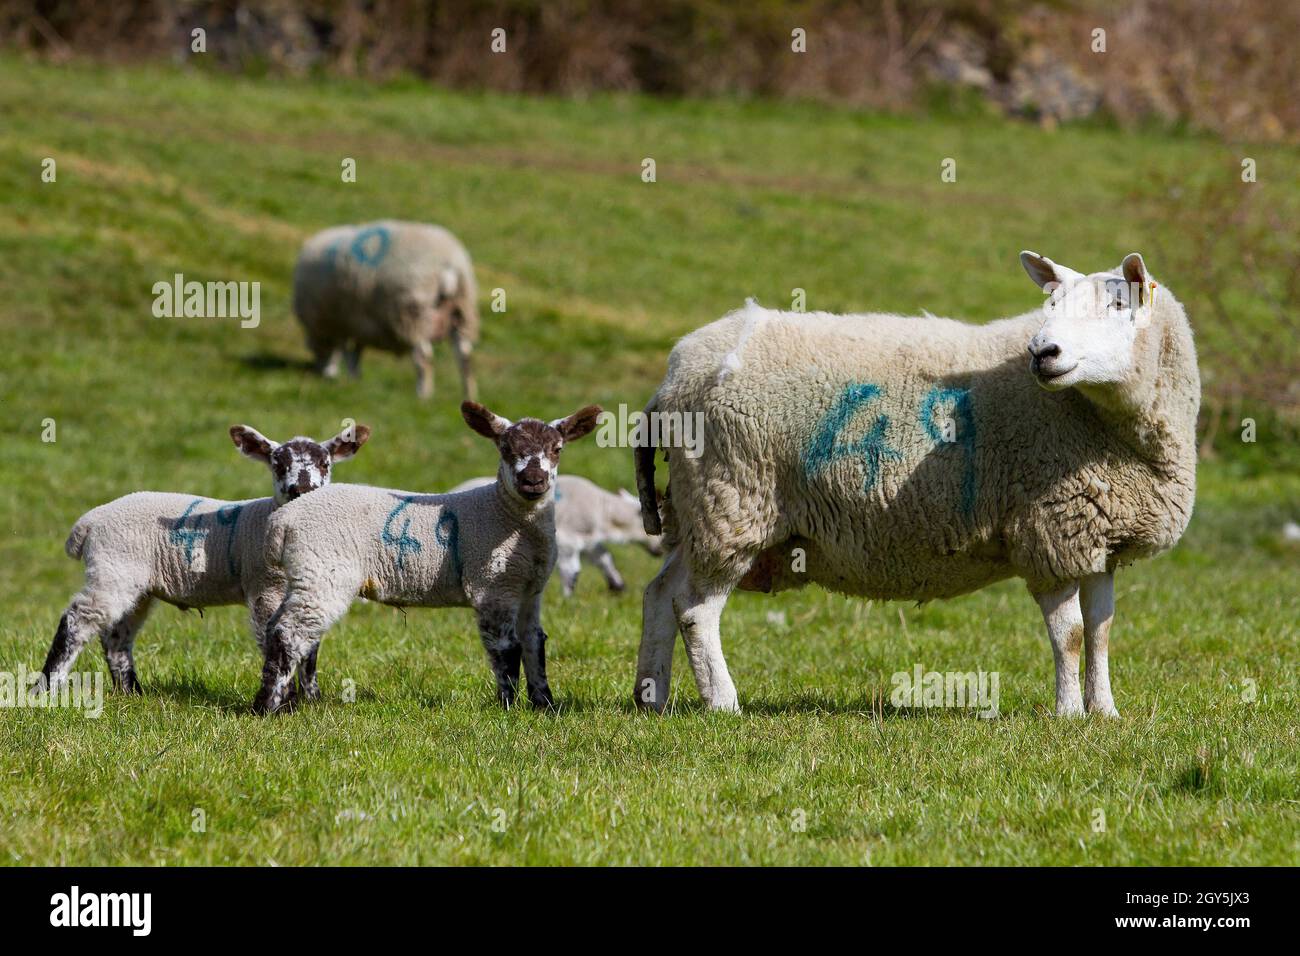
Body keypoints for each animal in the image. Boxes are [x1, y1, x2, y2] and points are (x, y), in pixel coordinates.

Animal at [37, 423, 370, 698]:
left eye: (325, 464)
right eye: (279, 465)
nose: (301, 489)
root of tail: (89, 521)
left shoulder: (309, 585)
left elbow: (309, 646)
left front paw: (311, 698)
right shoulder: (264, 587)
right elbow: (273, 638)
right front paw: (285, 700)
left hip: (134, 583)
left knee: (116, 637)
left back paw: (131, 692)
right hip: (112, 568)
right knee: (76, 621)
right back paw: (46, 690)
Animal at [252, 401, 603, 715]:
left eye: (557, 449)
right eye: (505, 448)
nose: (533, 480)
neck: (505, 515)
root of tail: (282, 521)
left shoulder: (529, 588)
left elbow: (534, 643)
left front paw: (545, 705)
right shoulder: (492, 585)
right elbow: (505, 648)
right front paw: (509, 707)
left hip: (306, 575)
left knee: (275, 629)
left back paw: (286, 703)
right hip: (322, 571)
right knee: (289, 633)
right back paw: (267, 707)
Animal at [292, 220, 480, 400]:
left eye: (315, 349)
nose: (324, 375)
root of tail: (450, 265)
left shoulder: (343, 323)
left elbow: (346, 351)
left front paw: (348, 376)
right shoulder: (357, 323)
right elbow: (356, 352)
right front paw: (355, 379)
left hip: (414, 310)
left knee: (424, 357)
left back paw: (423, 394)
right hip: (461, 311)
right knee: (465, 356)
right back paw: (469, 393)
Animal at [450, 474, 664, 596]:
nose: (660, 552)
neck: (603, 512)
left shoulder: (588, 541)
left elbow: (604, 558)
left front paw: (618, 587)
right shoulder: (567, 539)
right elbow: (571, 569)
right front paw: (568, 598)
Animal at [633, 252, 1199, 718]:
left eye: (1117, 305)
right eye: (1051, 303)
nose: (1043, 351)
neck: (1105, 423)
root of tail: (676, 376)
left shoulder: (1101, 536)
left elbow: (1101, 630)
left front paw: (1105, 712)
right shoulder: (1051, 531)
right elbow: (1072, 635)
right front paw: (1068, 715)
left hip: (697, 508)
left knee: (660, 593)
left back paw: (650, 696)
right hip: (730, 498)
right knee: (696, 610)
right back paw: (722, 702)